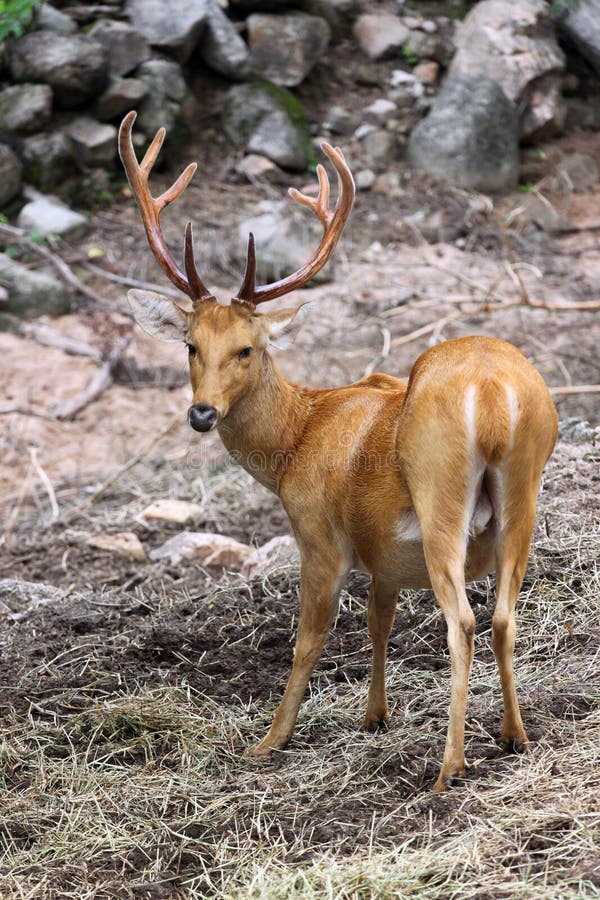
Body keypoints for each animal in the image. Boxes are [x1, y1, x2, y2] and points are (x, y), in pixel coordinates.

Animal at [118, 110, 558, 792]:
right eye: (190, 344)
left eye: (248, 348)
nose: (201, 412)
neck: (297, 438)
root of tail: (490, 395)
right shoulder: (384, 554)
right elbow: (379, 622)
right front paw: (375, 716)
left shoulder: (319, 532)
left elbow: (309, 639)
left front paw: (269, 741)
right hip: (523, 490)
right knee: (505, 616)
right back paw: (514, 736)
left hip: (440, 492)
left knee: (462, 621)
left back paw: (448, 768)